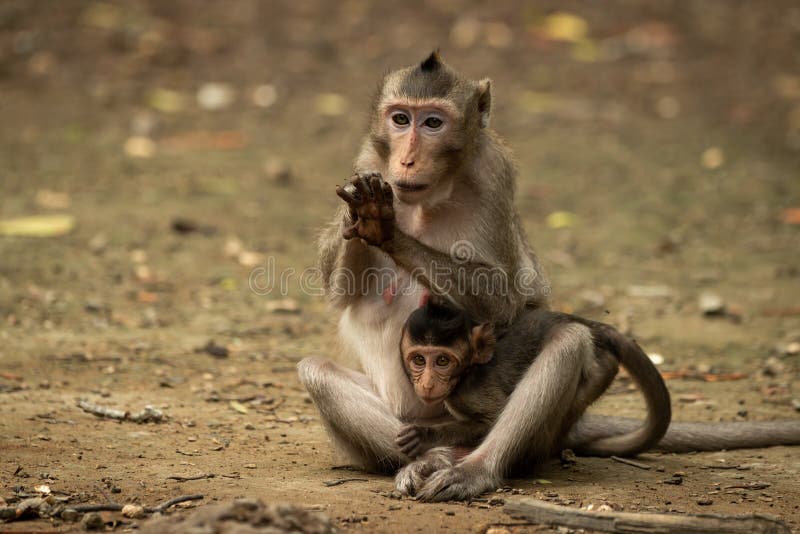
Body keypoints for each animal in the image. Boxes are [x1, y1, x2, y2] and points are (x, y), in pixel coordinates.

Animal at [297, 52, 800, 502]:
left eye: (433, 123)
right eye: (401, 119)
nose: (406, 160)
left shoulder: (494, 174)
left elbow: (503, 301)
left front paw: (384, 227)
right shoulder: (369, 154)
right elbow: (340, 292)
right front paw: (364, 214)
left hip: (542, 425)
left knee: (568, 344)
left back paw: (466, 464)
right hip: (403, 411)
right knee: (317, 371)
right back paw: (423, 460)